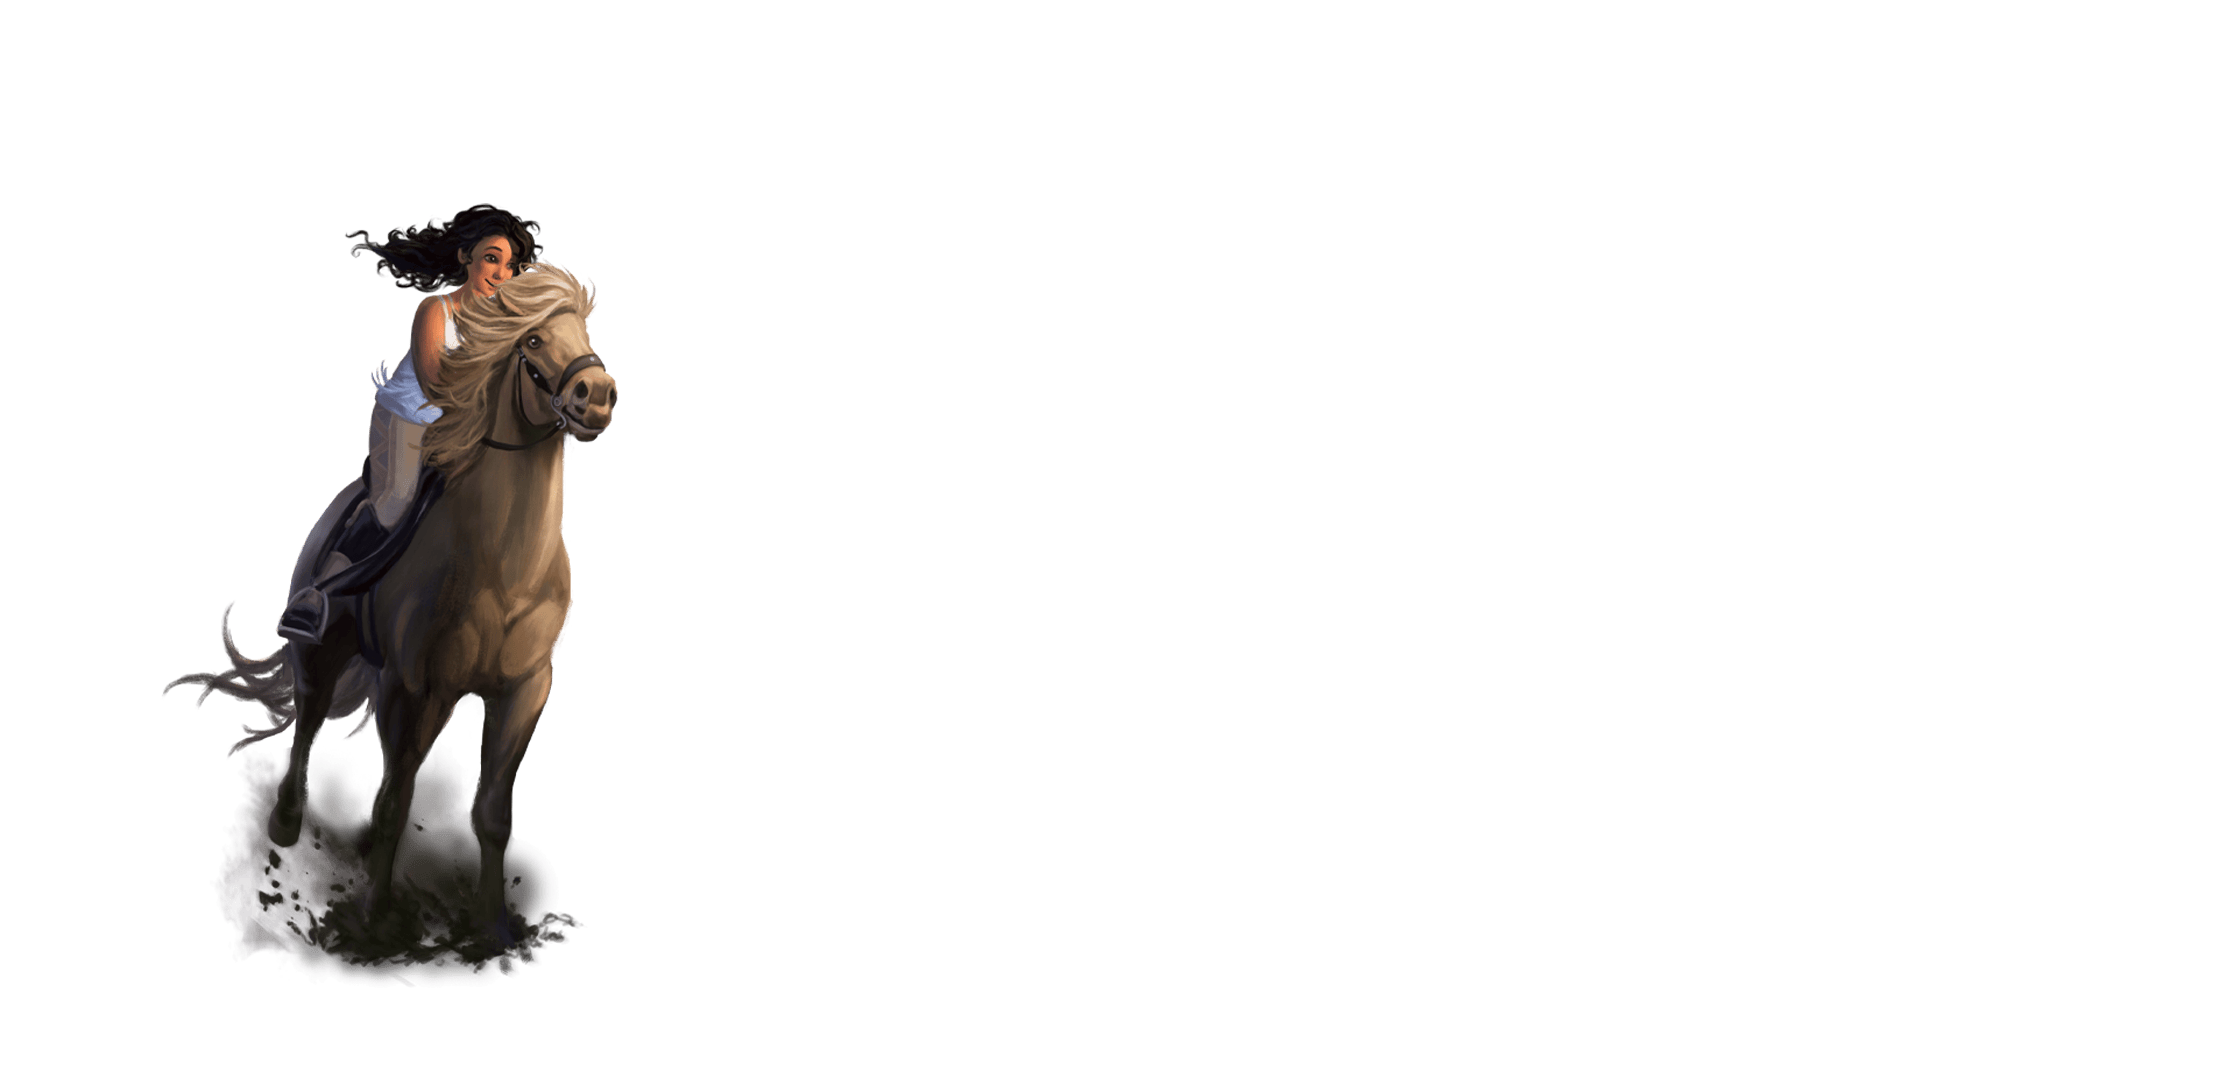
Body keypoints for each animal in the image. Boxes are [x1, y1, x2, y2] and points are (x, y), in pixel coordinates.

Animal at [165, 262, 619, 952]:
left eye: (583, 331)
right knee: (308, 719)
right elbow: (394, 806)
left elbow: (491, 814)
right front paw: (375, 919)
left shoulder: (524, 691)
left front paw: (493, 928)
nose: (597, 396)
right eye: (535, 340)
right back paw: (287, 826)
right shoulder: (415, 687)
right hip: (324, 652)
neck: (505, 567)